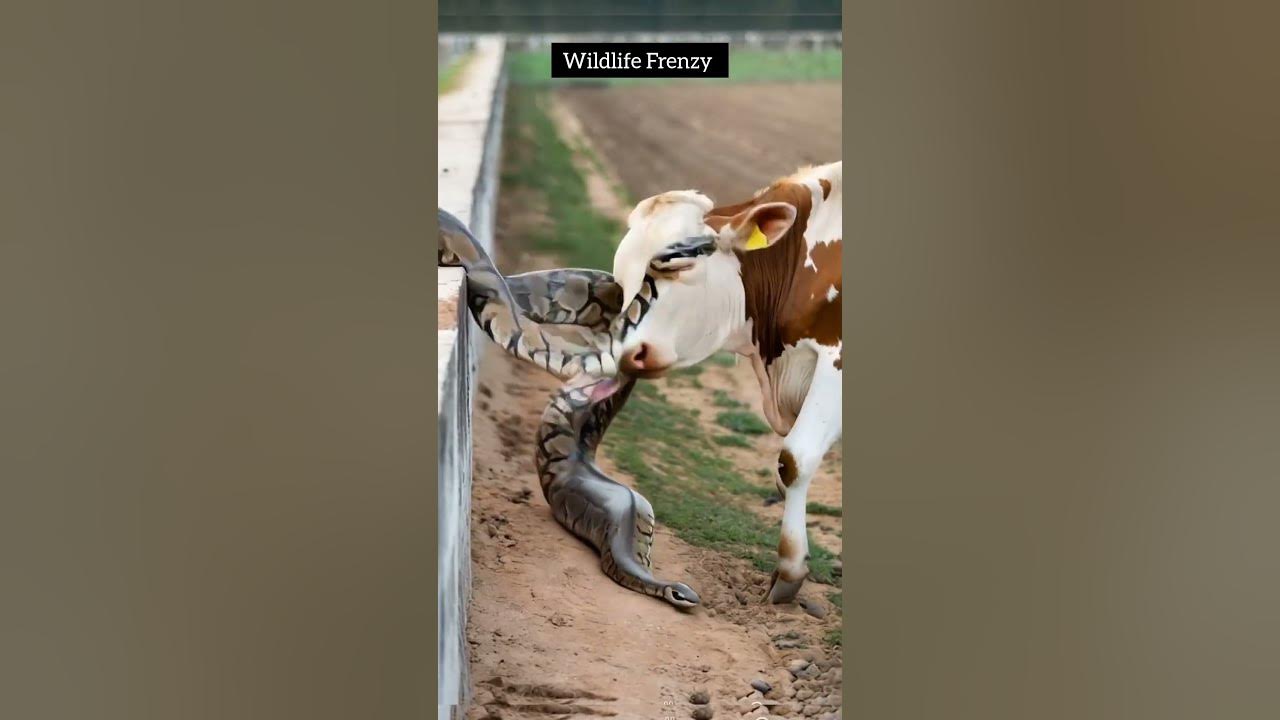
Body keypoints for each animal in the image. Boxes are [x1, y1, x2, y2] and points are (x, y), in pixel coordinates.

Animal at [610, 161, 842, 604]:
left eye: (678, 263)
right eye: (621, 280)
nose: (630, 353)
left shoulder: (836, 362)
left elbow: (794, 460)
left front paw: (790, 571)